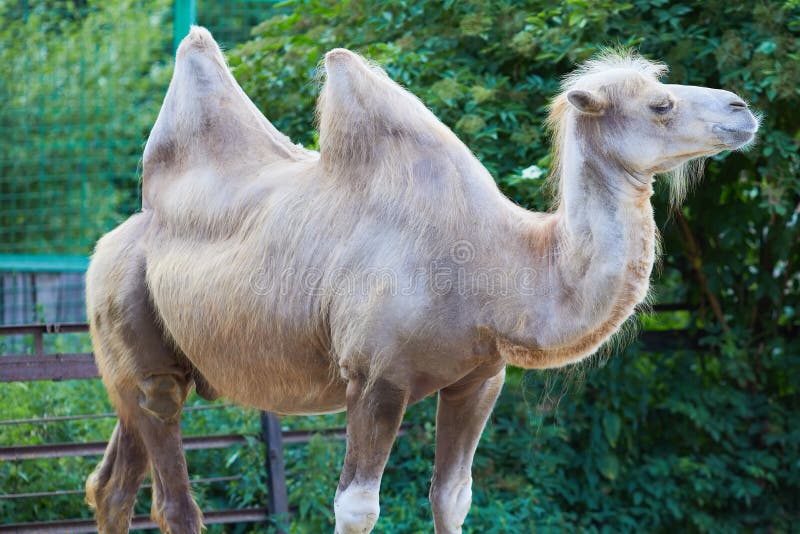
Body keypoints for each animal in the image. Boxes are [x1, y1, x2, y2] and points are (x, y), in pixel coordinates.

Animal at [84, 26, 758, 534]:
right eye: (660, 104)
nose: (742, 108)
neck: (496, 266)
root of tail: (105, 247)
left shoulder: (479, 379)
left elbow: (452, 498)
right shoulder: (375, 378)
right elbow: (357, 508)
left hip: (137, 367)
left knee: (112, 483)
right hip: (139, 337)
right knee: (172, 496)